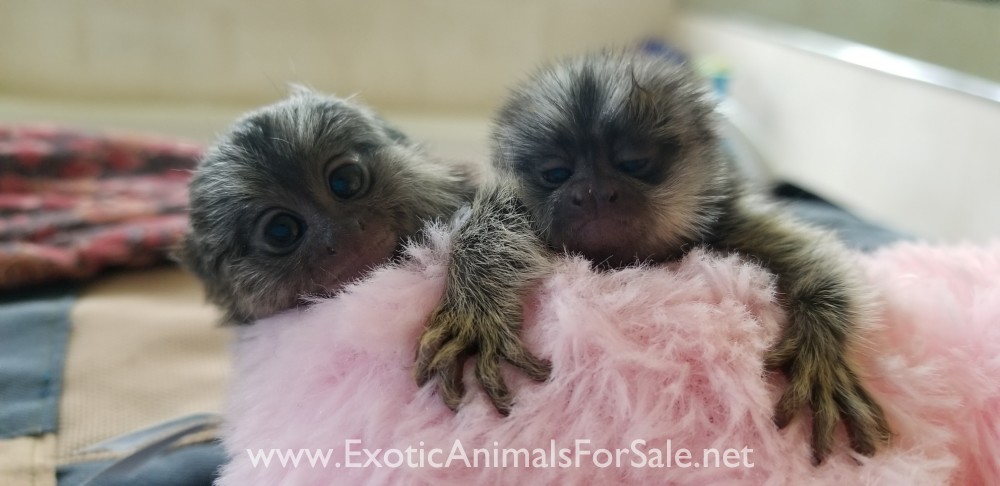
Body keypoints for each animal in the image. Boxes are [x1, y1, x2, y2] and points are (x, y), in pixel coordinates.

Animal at [414, 52, 892, 464]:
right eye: (556, 173)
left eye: (634, 163)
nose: (593, 192)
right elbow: (493, 219)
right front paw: (477, 305)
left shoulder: (727, 220)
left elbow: (816, 258)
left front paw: (820, 352)